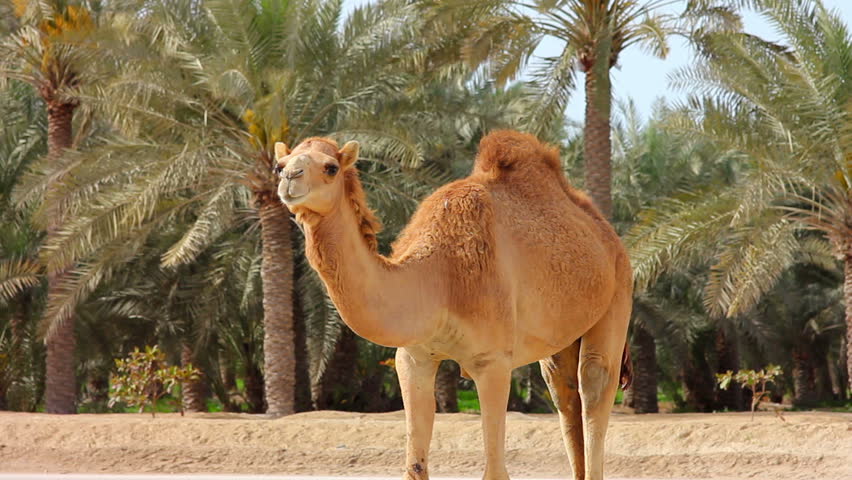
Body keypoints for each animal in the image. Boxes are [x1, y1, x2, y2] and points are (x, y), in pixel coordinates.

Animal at [274, 130, 633, 480]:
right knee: (564, 393)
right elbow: (415, 467)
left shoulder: (493, 360)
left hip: (618, 291)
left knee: (594, 382)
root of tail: (606, 232)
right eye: (279, 165)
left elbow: (495, 472)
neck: (438, 280)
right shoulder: (414, 357)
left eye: (330, 167)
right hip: (559, 338)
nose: (290, 177)